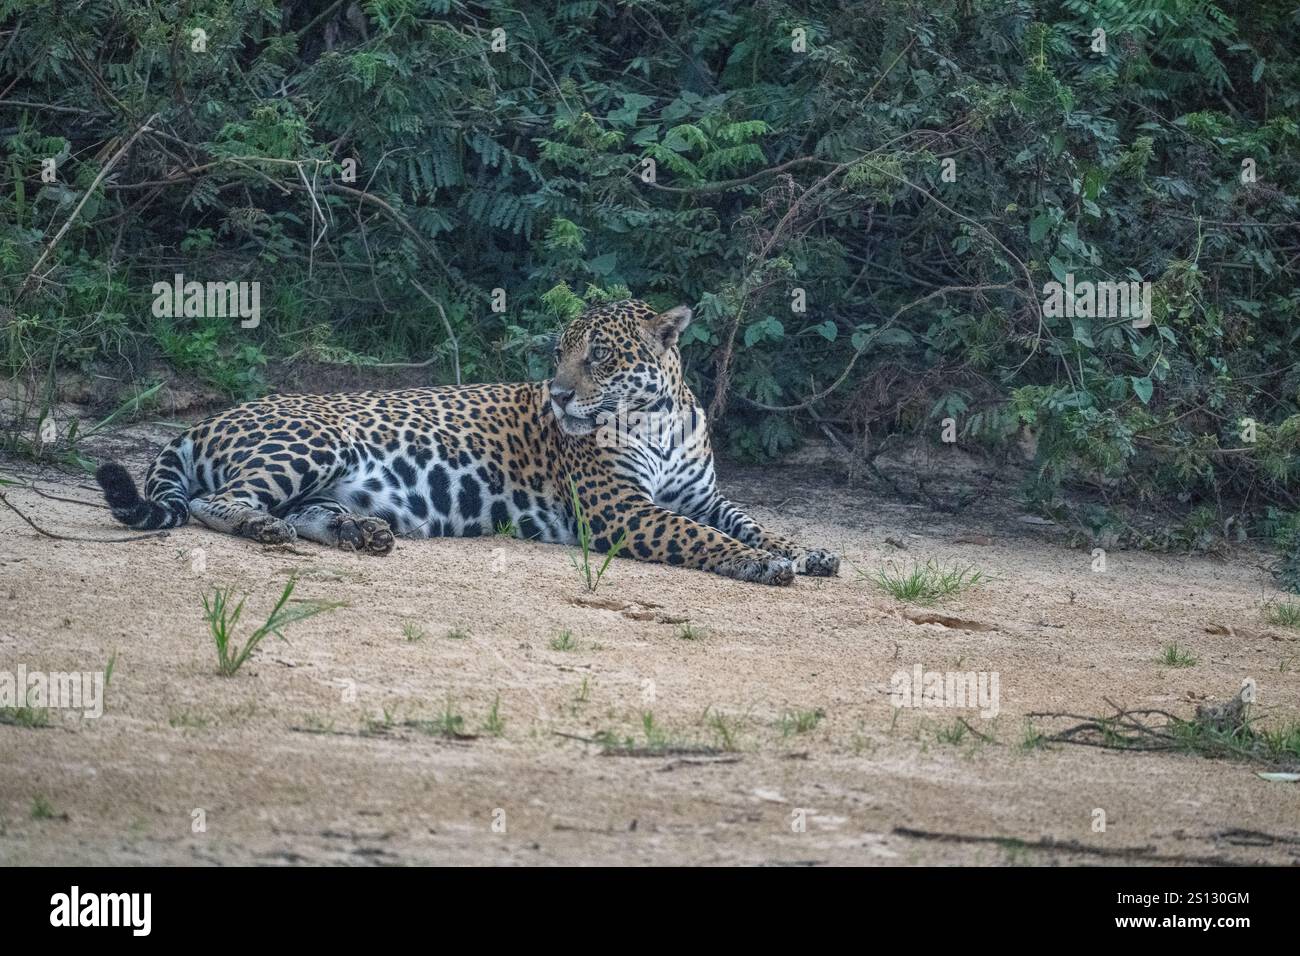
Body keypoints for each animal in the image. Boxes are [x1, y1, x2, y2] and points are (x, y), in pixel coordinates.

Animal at [96, 299, 840, 585]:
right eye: (558, 352)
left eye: (599, 356)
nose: (558, 393)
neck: (654, 417)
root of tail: (205, 420)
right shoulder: (622, 510)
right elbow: (703, 537)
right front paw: (761, 564)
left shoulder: (700, 495)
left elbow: (748, 519)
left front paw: (807, 550)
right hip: (315, 441)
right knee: (215, 502)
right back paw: (263, 526)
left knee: (300, 509)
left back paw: (359, 531)